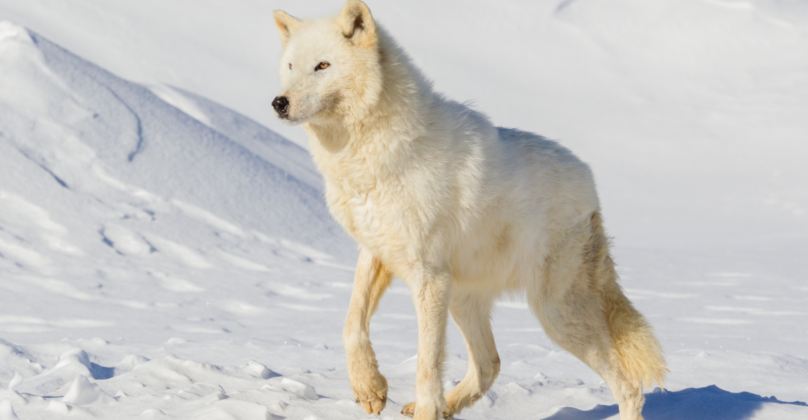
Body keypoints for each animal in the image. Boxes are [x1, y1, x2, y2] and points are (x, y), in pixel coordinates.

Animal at [271, 2, 666, 419]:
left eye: (323, 66)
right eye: (291, 66)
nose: (278, 103)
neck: (373, 158)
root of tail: (591, 184)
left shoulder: (428, 279)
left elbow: (427, 367)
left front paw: (421, 405)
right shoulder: (376, 252)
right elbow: (351, 324)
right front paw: (370, 388)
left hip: (554, 315)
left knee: (628, 386)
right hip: (465, 300)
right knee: (490, 364)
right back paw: (442, 406)